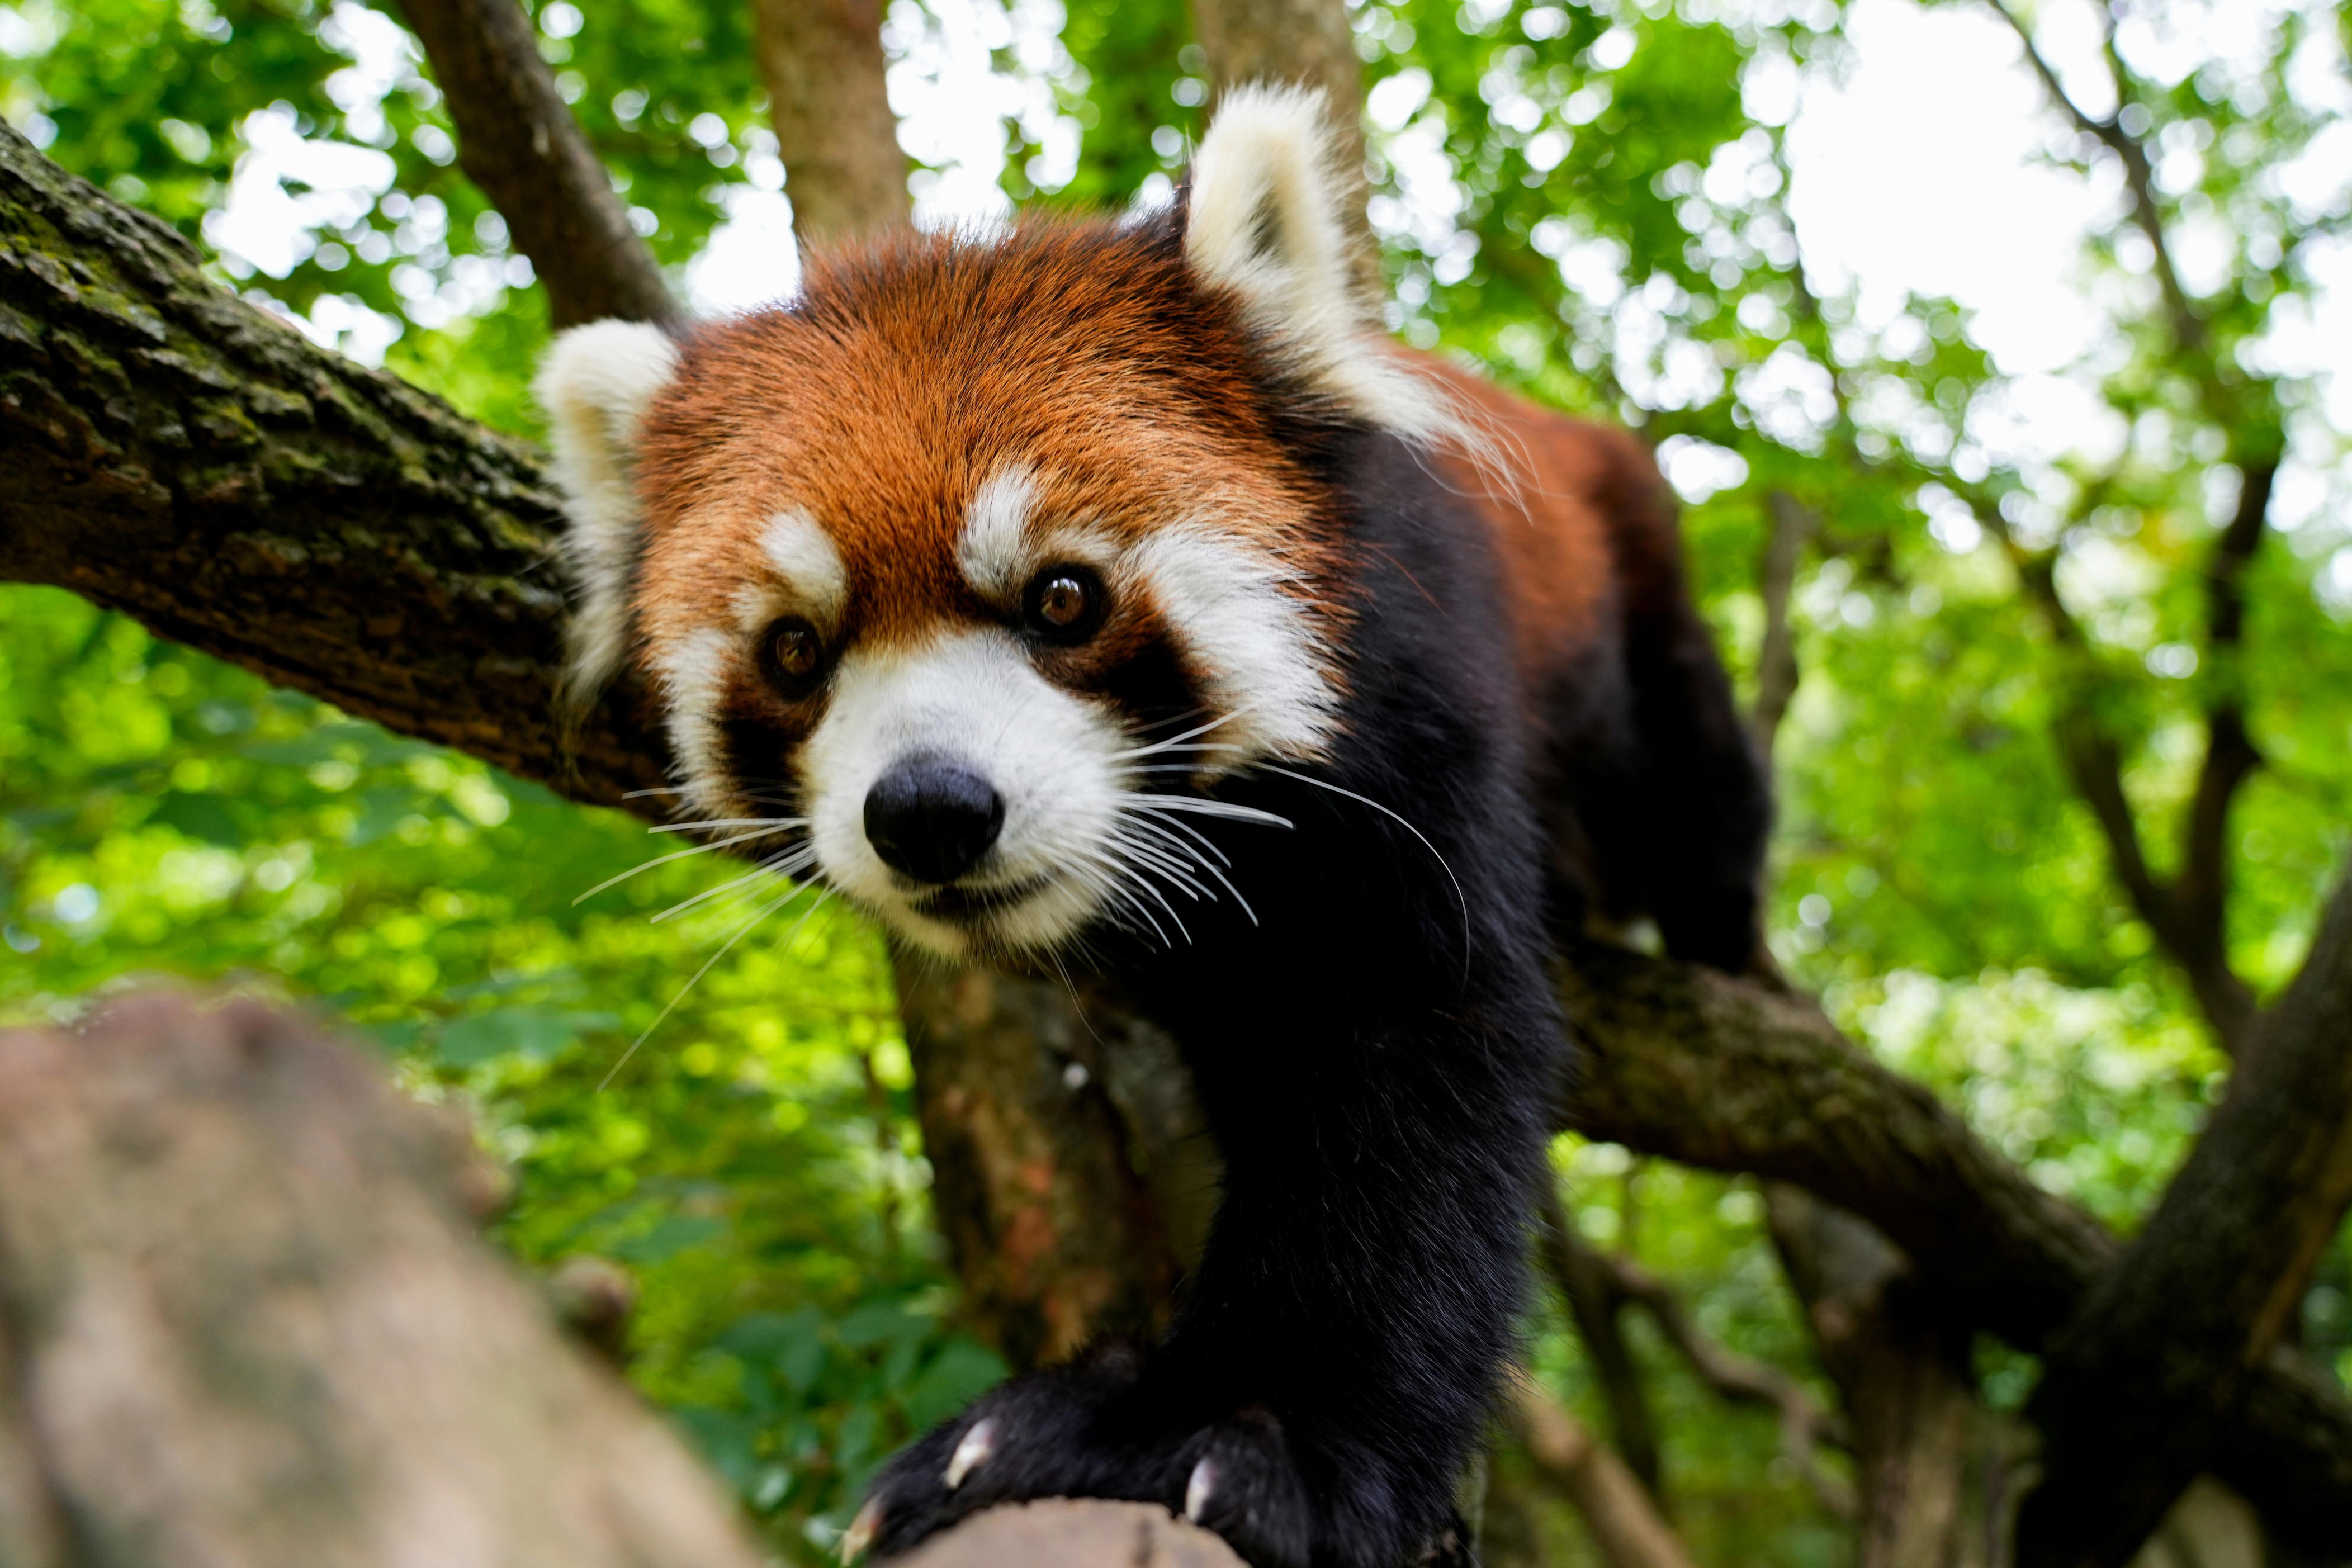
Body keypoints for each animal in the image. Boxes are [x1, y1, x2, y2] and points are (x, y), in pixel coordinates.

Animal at [537, 84, 1768, 1568]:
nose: (929, 811)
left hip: (1636, 611)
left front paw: (1236, 1426)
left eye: (1063, 598)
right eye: (794, 650)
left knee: (1697, 793)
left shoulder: (1409, 689)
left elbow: (1408, 1056)